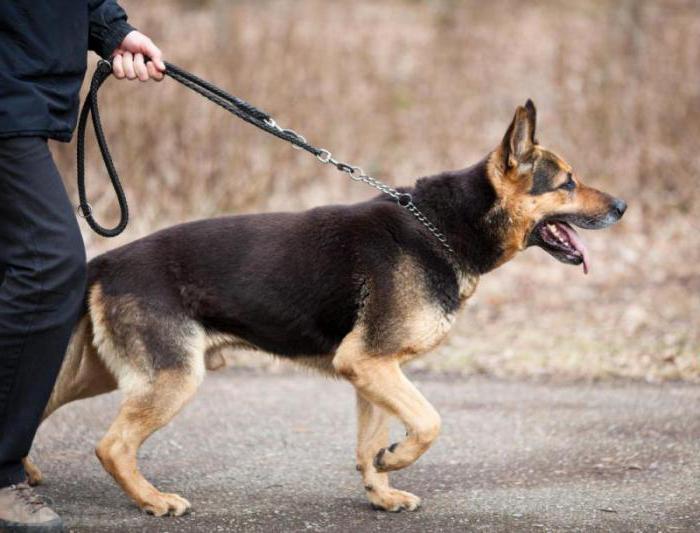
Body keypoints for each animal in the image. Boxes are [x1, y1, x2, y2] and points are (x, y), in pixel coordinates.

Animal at [21, 100, 628, 516]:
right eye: (568, 183)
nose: (623, 205)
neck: (443, 227)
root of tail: (107, 260)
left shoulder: (373, 370)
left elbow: (369, 442)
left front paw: (381, 490)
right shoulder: (370, 364)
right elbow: (428, 422)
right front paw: (396, 459)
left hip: (103, 374)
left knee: (41, 402)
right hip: (172, 378)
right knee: (112, 445)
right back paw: (153, 499)